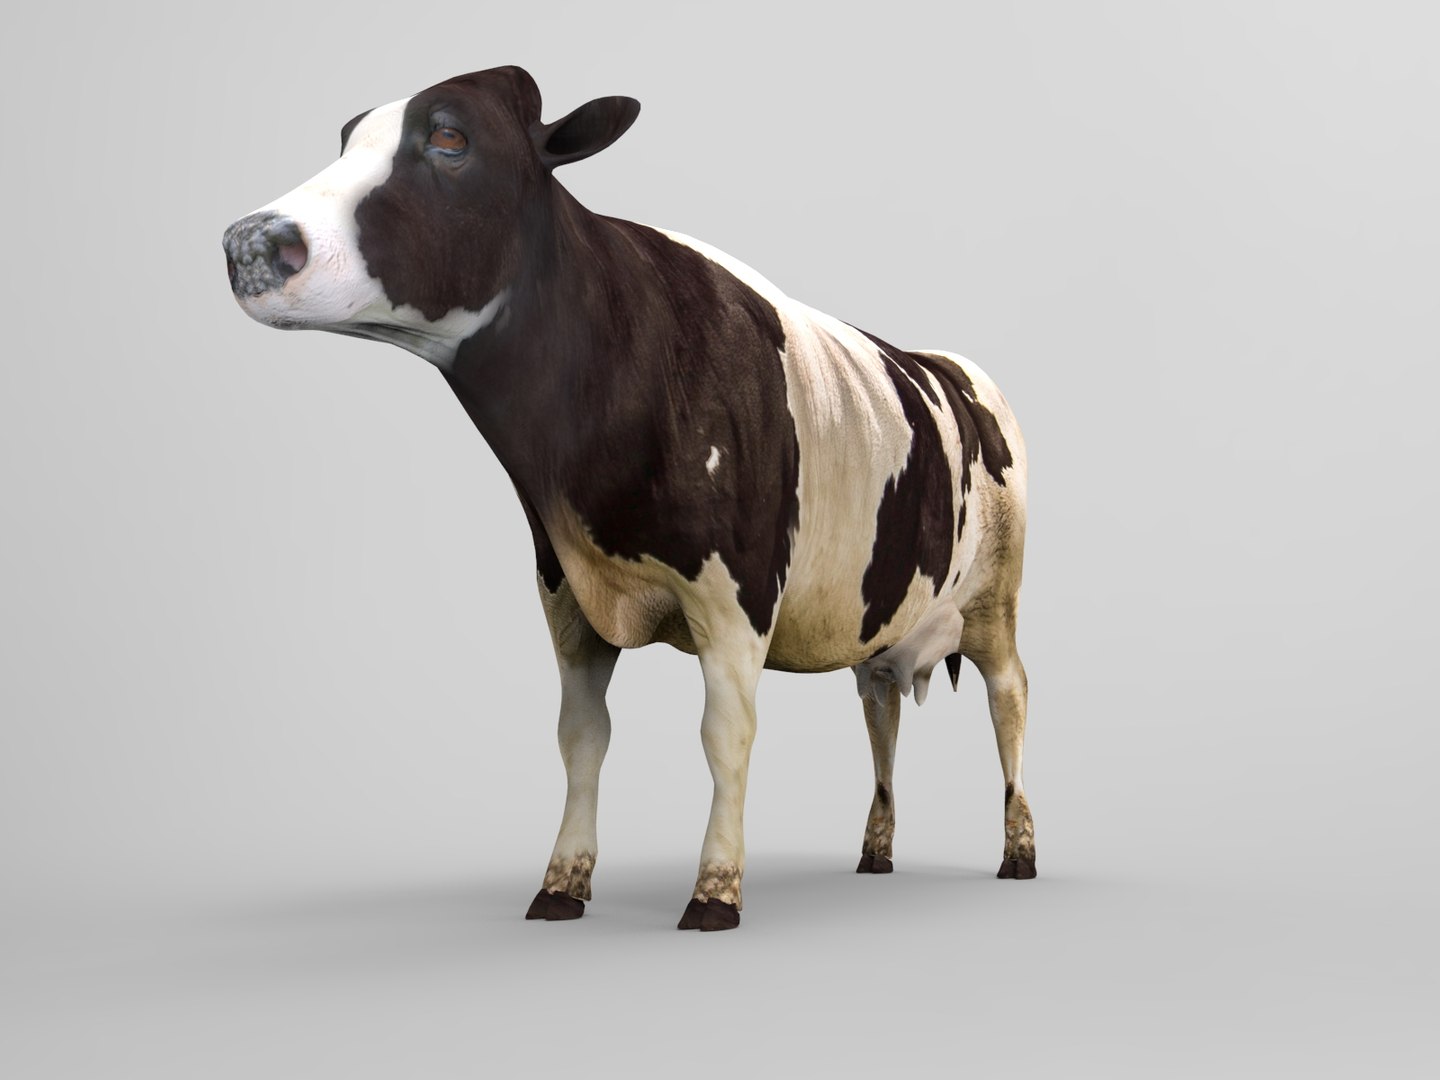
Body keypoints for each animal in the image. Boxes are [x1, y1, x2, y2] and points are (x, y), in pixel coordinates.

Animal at [223, 66, 1034, 932]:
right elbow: (581, 736)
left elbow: (725, 735)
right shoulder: (564, 590)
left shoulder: (738, 596)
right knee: (880, 706)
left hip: (995, 599)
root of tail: (953, 364)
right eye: (346, 139)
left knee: (1009, 698)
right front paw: (560, 884)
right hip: (887, 620)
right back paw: (875, 852)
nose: (248, 244)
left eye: (448, 137)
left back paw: (1018, 854)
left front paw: (715, 891)